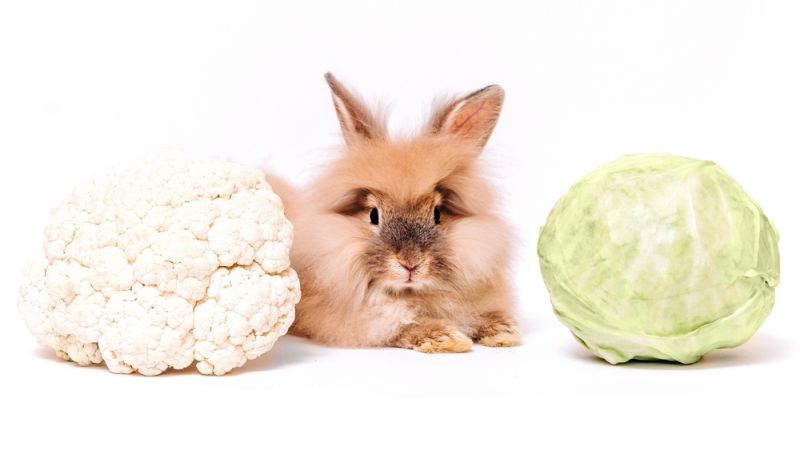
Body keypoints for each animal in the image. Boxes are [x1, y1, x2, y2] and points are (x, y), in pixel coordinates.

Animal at [272, 73, 518, 353]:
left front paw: (503, 331)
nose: (410, 264)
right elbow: (399, 324)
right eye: (373, 215)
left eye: (437, 213)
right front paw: (446, 338)